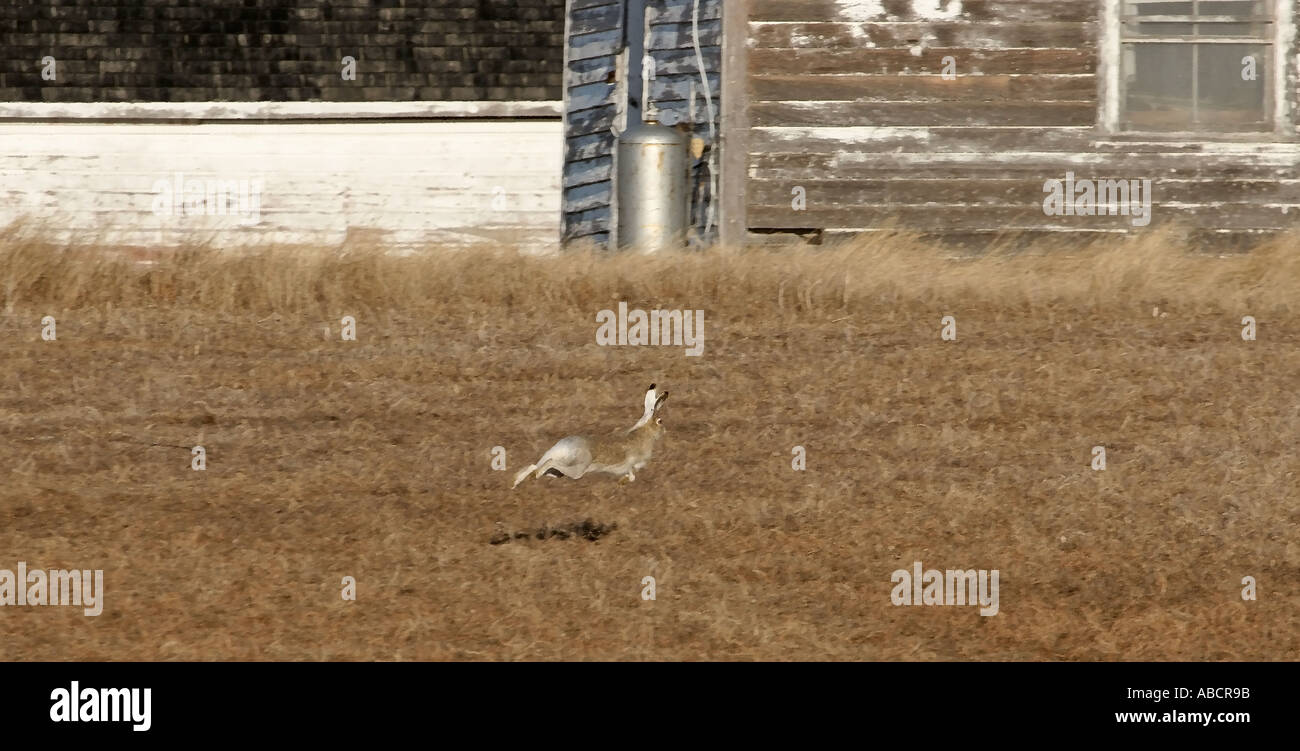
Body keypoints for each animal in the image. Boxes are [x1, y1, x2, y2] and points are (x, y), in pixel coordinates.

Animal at [512, 384, 669, 489]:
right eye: (660, 421)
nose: (665, 431)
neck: (645, 433)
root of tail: (565, 447)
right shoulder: (631, 463)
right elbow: (632, 475)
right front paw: (623, 481)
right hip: (578, 468)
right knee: (549, 463)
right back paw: (534, 476)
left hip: (559, 466)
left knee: (535, 465)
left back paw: (517, 482)